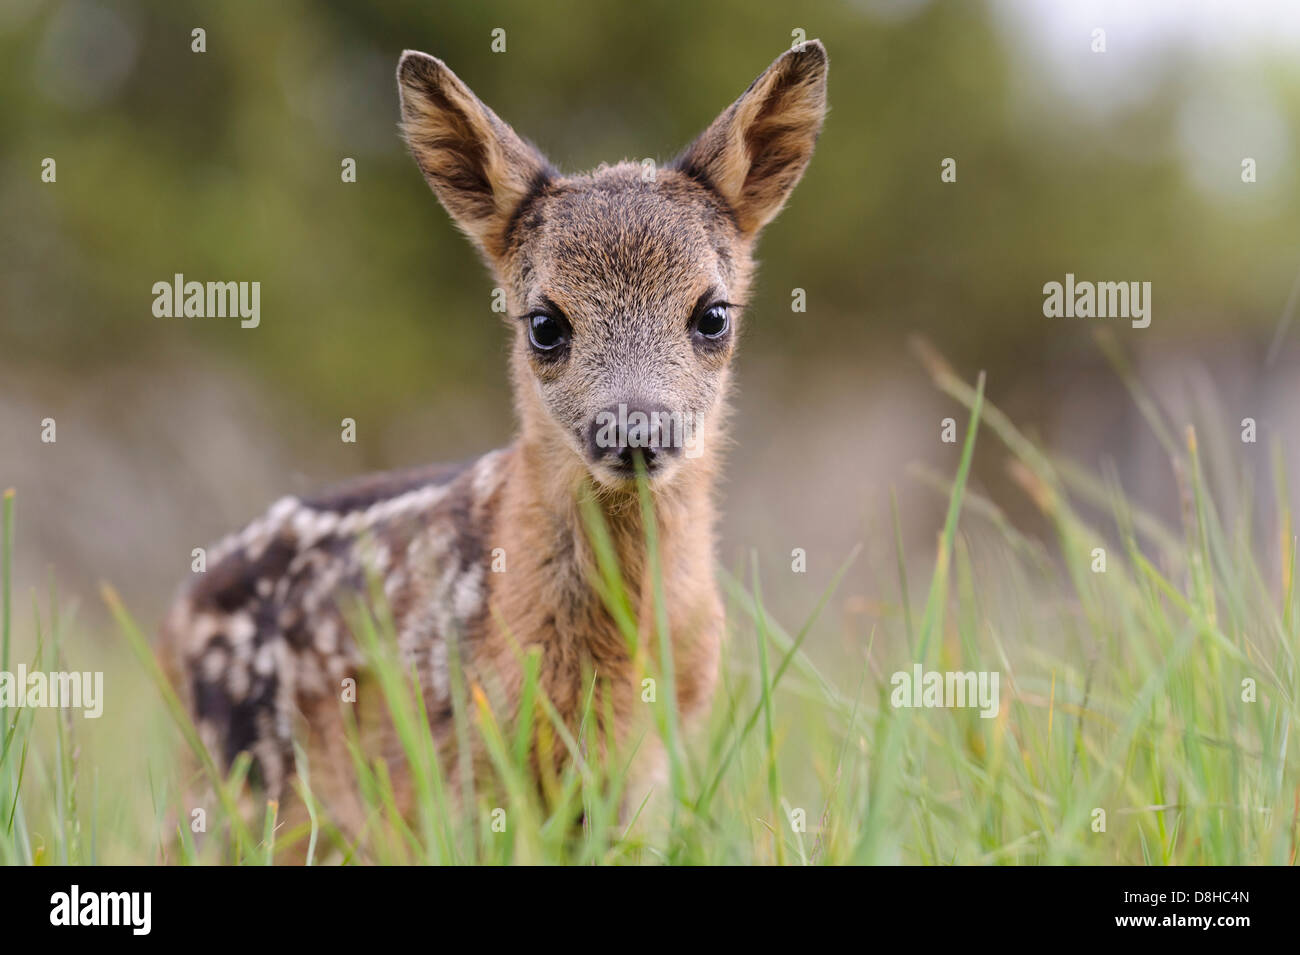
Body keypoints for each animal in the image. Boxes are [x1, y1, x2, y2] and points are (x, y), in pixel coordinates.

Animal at [161, 40, 828, 841]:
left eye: (713, 315)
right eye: (544, 323)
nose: (636, 430)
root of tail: (177, 613)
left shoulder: (647, 764)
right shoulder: (460, 755)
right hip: (237, 783)